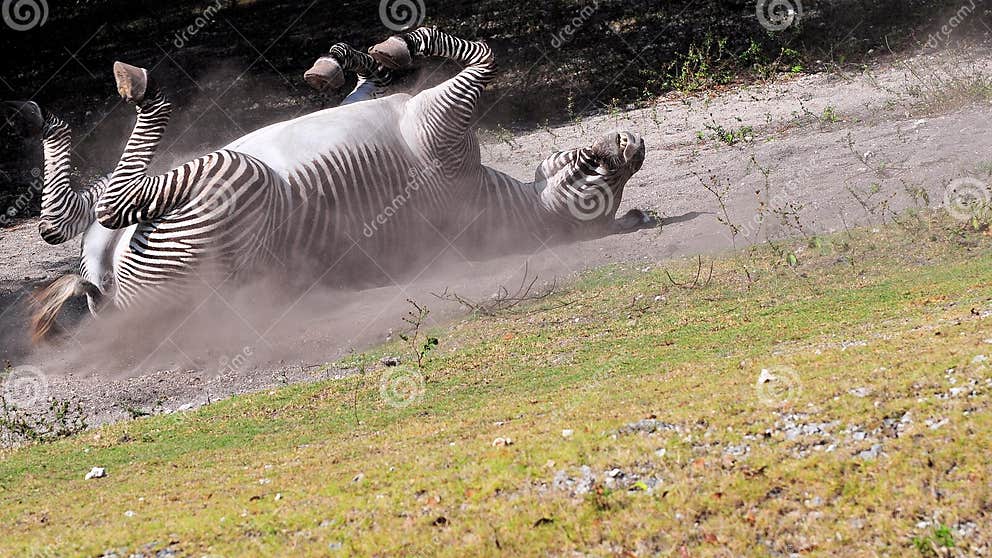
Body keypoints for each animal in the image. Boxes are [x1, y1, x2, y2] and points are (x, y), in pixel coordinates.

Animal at [30, 27, 652, 341]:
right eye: (602, 170)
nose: (635, 145)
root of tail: (115, 303)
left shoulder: (445, 117)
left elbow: (485, 54)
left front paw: (393, 47)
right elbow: (366, 82)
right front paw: (349, 58)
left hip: (230, 181)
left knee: (89, 211)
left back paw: (127, 90)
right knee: (70, 219)